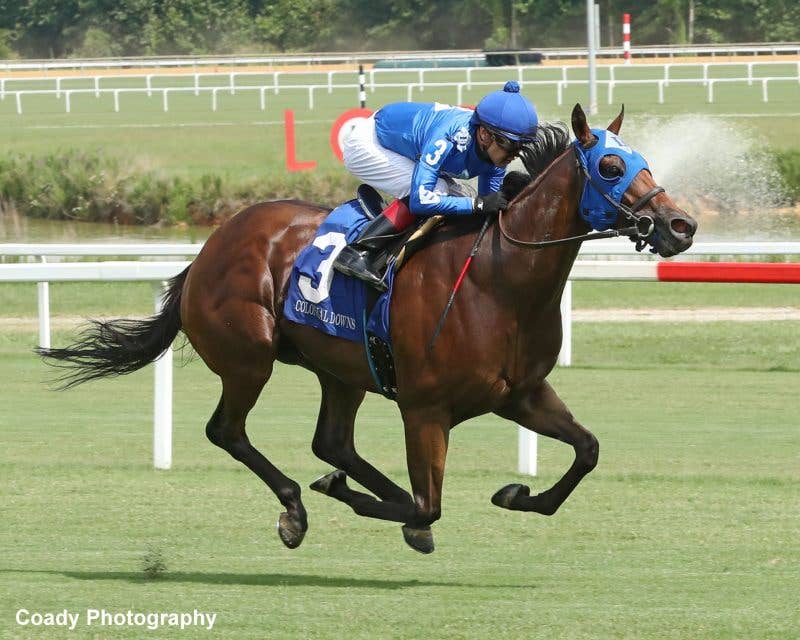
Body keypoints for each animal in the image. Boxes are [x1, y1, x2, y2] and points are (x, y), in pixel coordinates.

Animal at [39, 104, 697, 554]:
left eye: (645, 160)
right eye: (611, 164)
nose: (681, 225)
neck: (499, 280)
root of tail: (207, 249)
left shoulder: (522, 394)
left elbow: (587, 450)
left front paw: (518, 494)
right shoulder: (425, 409)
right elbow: (428, 507)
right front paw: (380, 508)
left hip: (342, 368)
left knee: (331, 442)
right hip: (248, 356)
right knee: (227, 430)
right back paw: (296, 508)